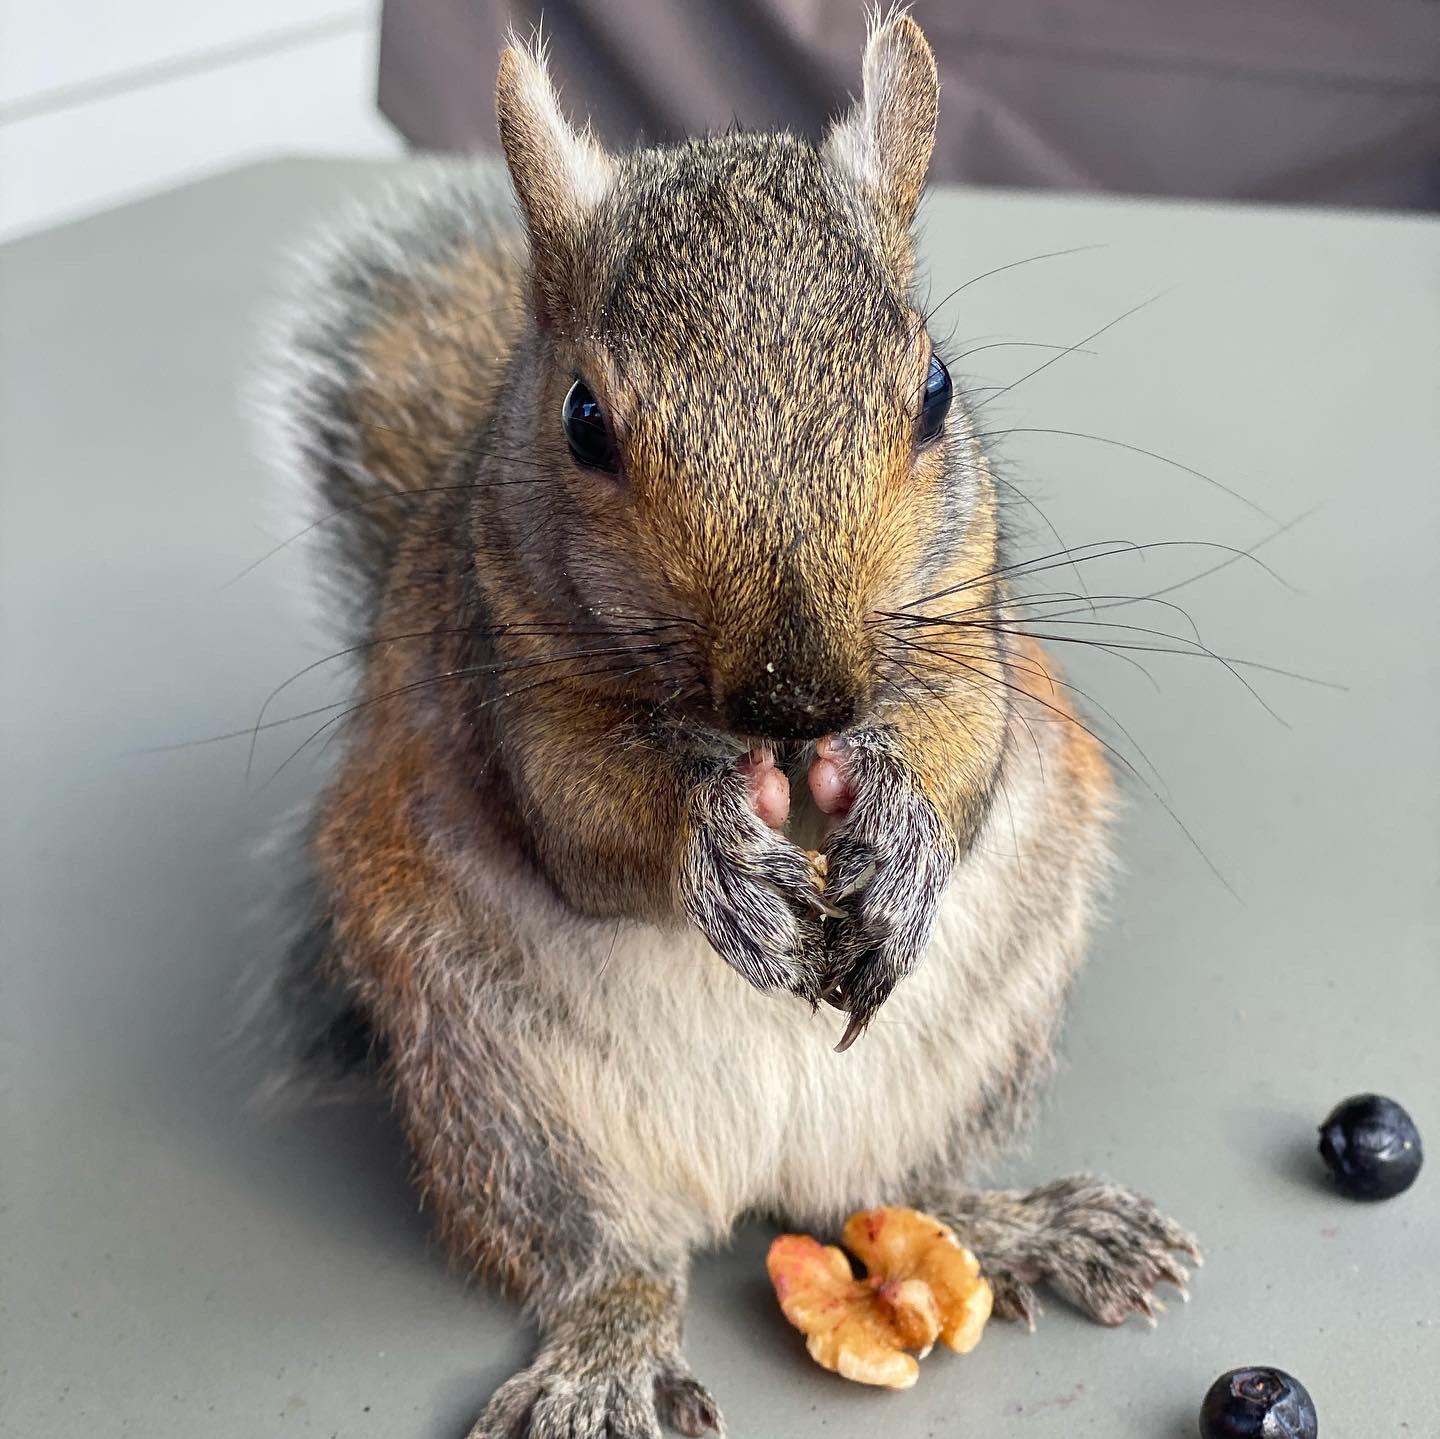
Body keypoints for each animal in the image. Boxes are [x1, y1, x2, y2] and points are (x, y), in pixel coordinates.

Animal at [264, 12, 1200, 1437]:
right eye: (582, 420)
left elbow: (966, 758)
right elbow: (588, 821)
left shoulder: (969, 629)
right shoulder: (509, 683)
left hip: (977, 1049)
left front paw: (904, 834)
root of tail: (760, 1172)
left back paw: (1035, 1227)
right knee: (608, 1258)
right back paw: (602, 1365)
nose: (799, 700)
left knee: (904, 1193)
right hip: (499, 1097)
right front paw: (716, 843)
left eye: (936, 388)